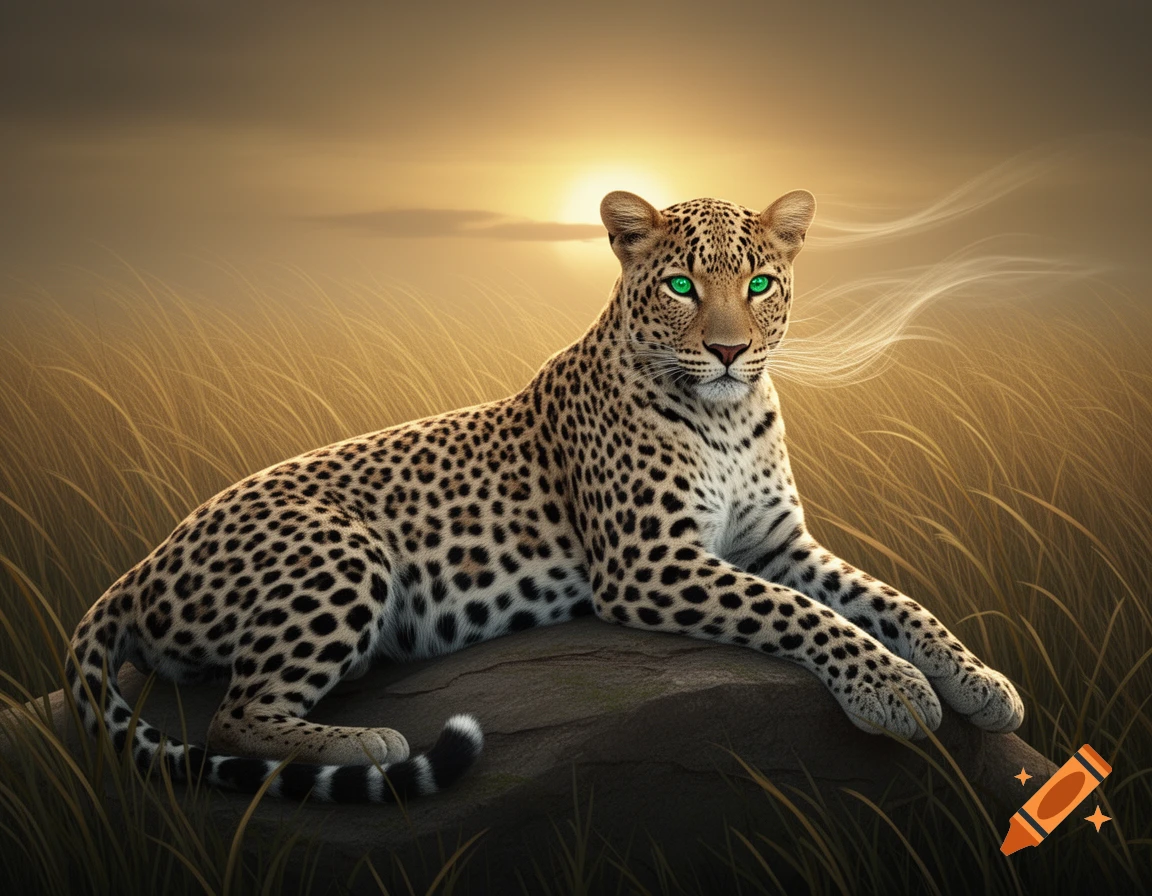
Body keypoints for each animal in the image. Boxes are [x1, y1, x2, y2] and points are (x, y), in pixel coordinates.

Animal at [65, 188, 1024, 803]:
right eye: (682, 284)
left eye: (759, 283)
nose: (726, 350)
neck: (728, 416)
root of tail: (139, 566)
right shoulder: (651, 565)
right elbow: (799, 614)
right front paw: (893, 691)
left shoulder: (778, 544)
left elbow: (889, 600)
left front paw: (978, 682)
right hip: (340, 548)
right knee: (233, 717)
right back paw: (365, 741)